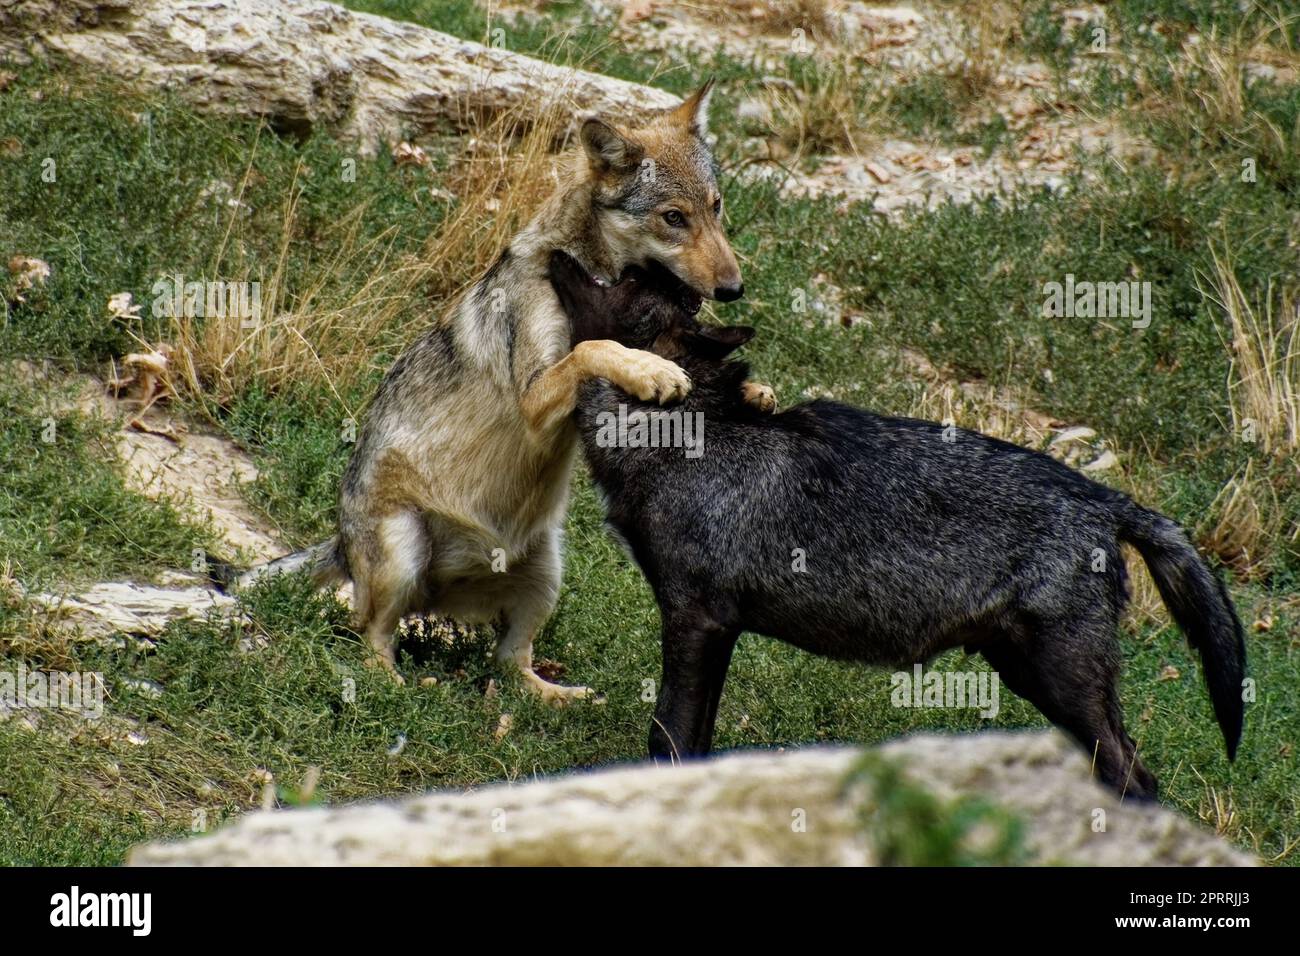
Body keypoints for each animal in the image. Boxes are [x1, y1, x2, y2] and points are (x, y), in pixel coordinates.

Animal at [221, 82, 770, 700]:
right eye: (673, 217)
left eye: (716, 207)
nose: (733, 288)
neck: (587, 270)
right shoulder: (537, 397)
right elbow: (594, 349)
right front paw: (654, 371)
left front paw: (757, 391)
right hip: (405, 552)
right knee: (369, 635)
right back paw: (399, 686)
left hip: (548, 571)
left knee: (509, 666)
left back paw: (560, 697)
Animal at [550, 251, 1247, 799]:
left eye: (632, 279)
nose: (559, 248)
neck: (685, 438)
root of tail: (1105, 498)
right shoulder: (717, 631)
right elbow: (692, 743)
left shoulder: (697, 621)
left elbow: (667, 737)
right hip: (1027, 673)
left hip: (1061, 682)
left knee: (1137, 779)